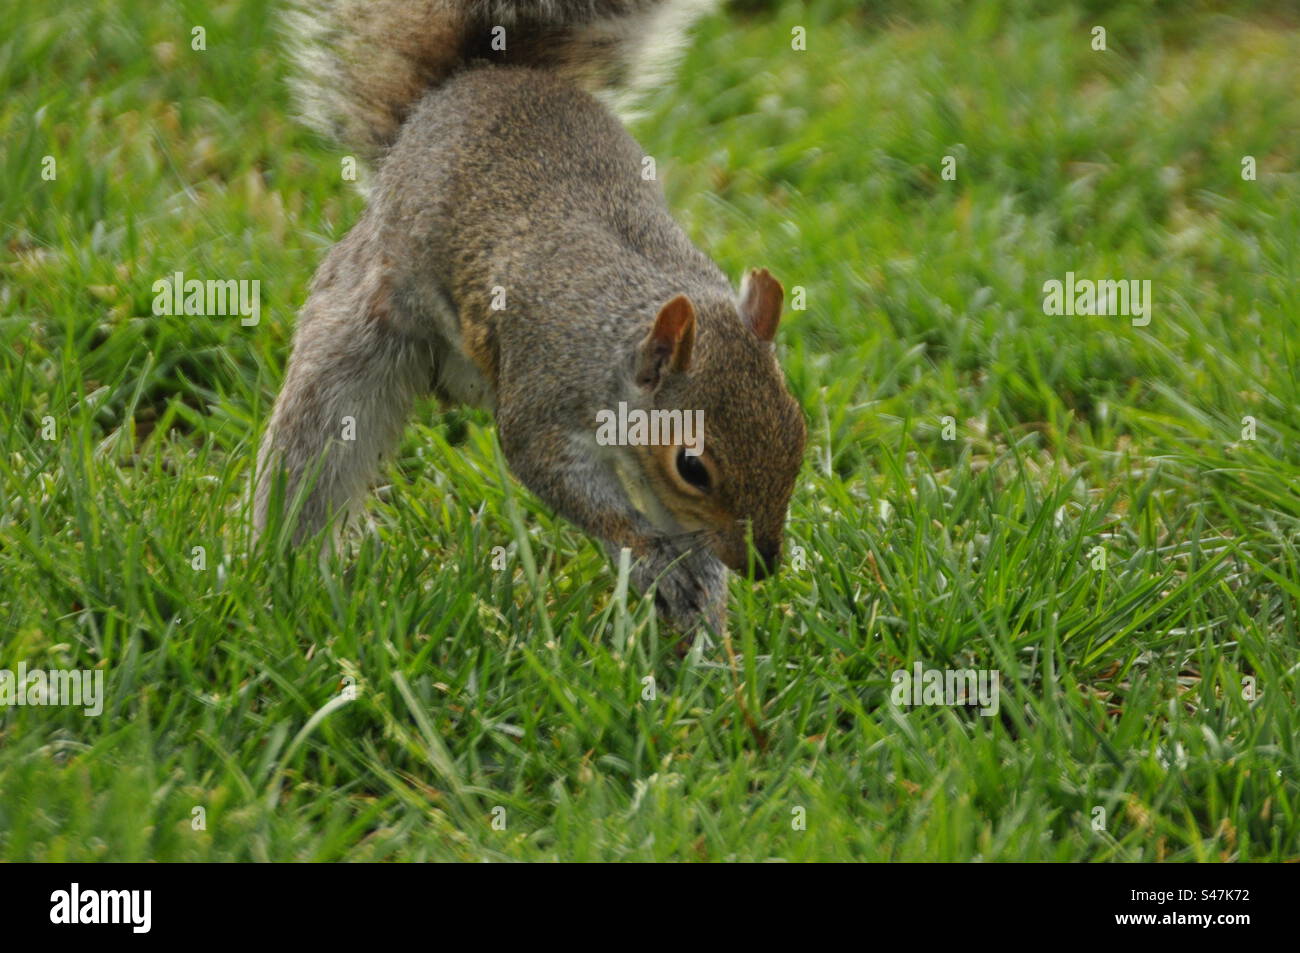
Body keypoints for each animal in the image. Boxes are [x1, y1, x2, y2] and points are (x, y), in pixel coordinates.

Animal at [255, 0, 808, 635]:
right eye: (693, 467)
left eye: (799, 432)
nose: (762, 565)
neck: (616, 338)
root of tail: (473, 78)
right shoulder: (544, 397)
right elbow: (551, 472)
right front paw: (645, 551)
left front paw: (698, 603)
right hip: (363, 323)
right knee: (314, 455)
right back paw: (289, 572)